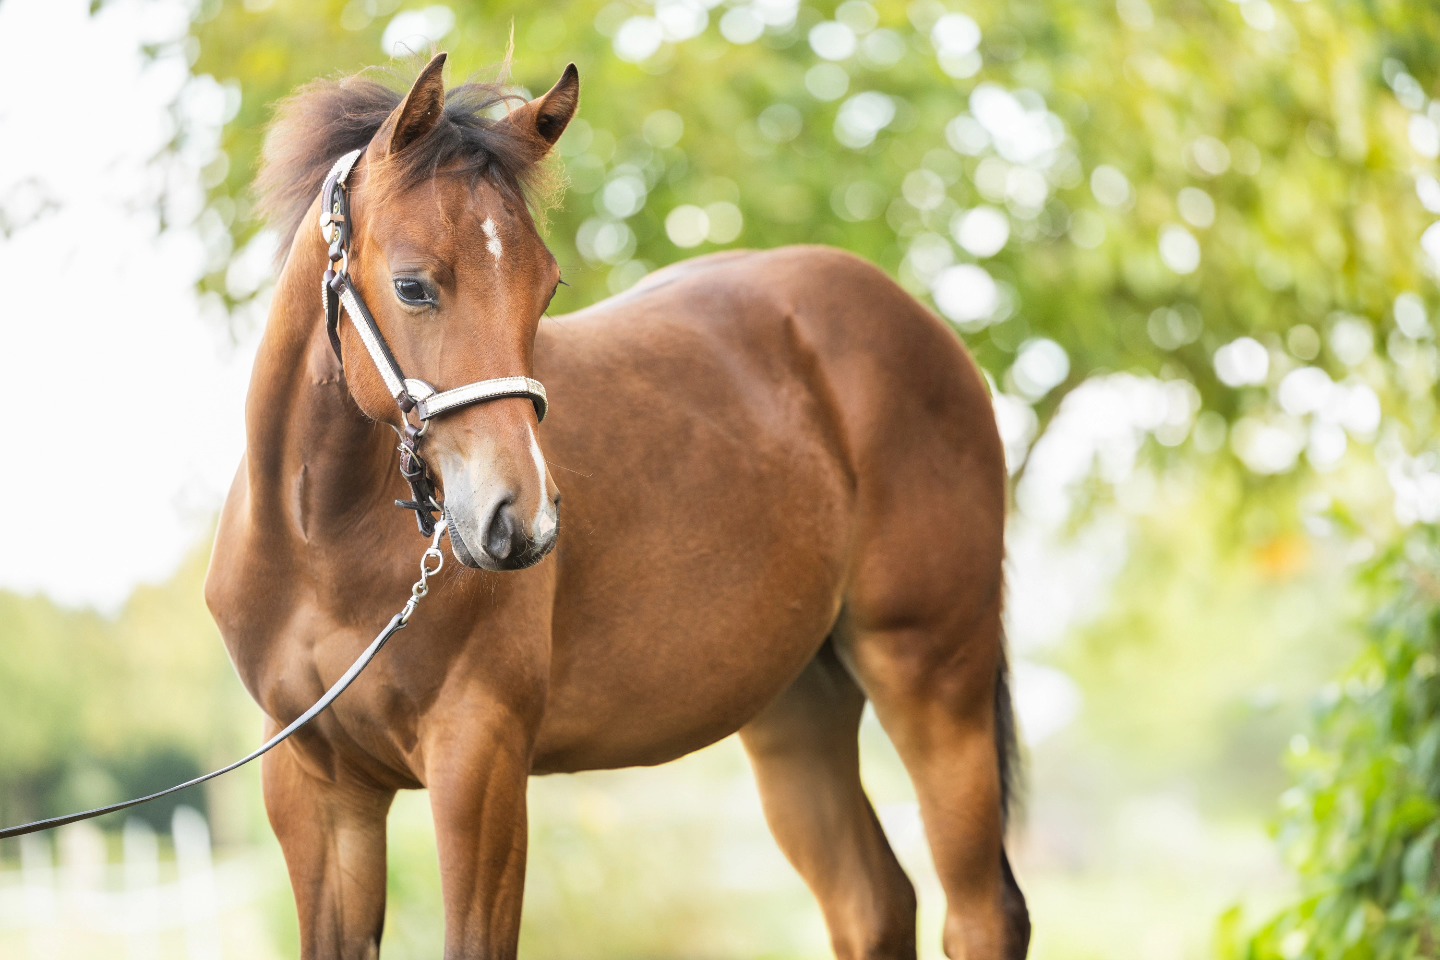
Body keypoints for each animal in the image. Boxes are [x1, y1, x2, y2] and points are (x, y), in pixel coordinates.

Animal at [205, 52, 1031, 960]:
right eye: (413, 286)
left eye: (546, 287)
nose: (520, 522)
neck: (322, 548)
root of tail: (923, 328)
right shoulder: (317, 790)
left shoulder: (479, 763)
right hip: (798, 712)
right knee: (872, 902)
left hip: (932, 681)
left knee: (980, 914)